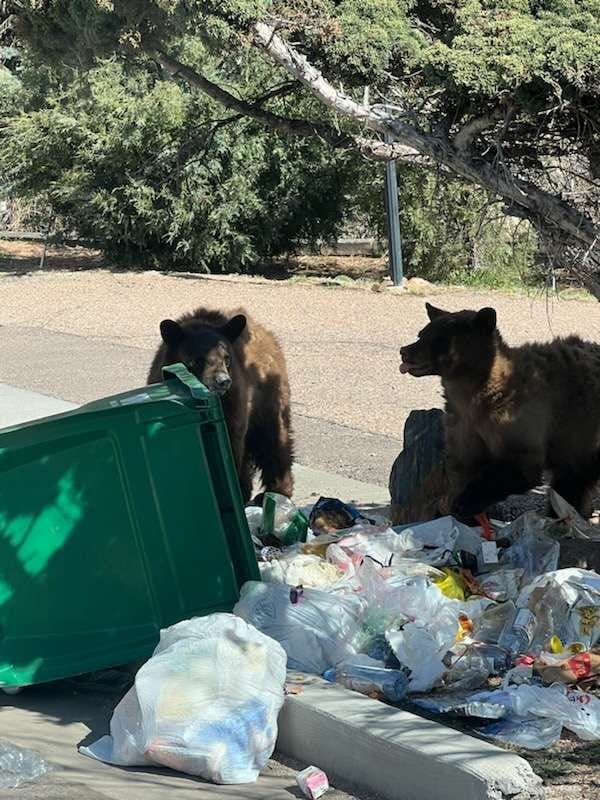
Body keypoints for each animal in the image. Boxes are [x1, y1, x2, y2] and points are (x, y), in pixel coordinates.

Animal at [147, 307, 294, 504]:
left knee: (273, 437)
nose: (223, 381)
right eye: (197, 360)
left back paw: (276, 490)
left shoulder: (235, 402)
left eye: (226, 358)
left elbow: (230, 445)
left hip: (267, 396)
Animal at [399, 302, 600, 519]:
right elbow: (464, 465)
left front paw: (464, 504)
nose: (404, 350)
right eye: (421, 334)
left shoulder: (518, 416)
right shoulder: (461, 424)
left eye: (440, 340)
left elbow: (518, 467)